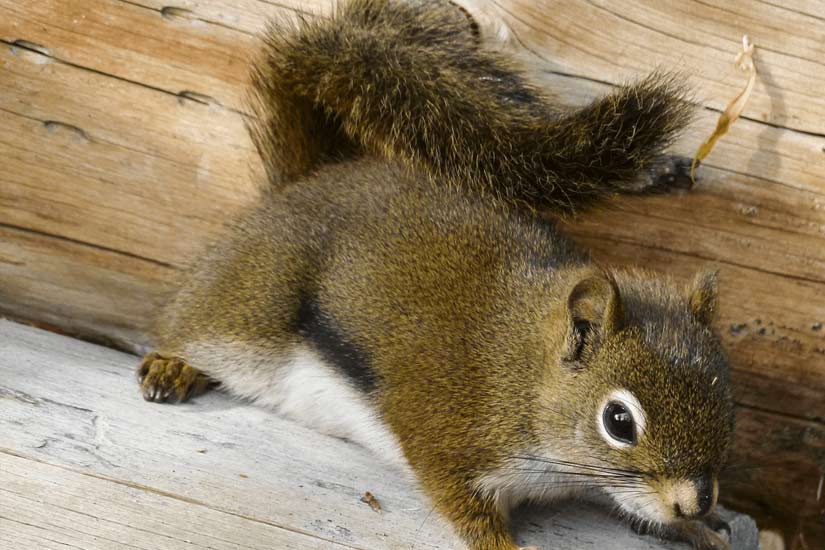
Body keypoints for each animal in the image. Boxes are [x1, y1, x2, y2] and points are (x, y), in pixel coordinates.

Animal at [137, 1, 736, 549]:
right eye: (618, 421)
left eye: (727, 399)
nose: (693, 500)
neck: (525, 375)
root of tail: (309, 180)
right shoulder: (446, 434)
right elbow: (462, 505)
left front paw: (699, 529)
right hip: (247, 304)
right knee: (187, 321)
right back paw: (173, 364)